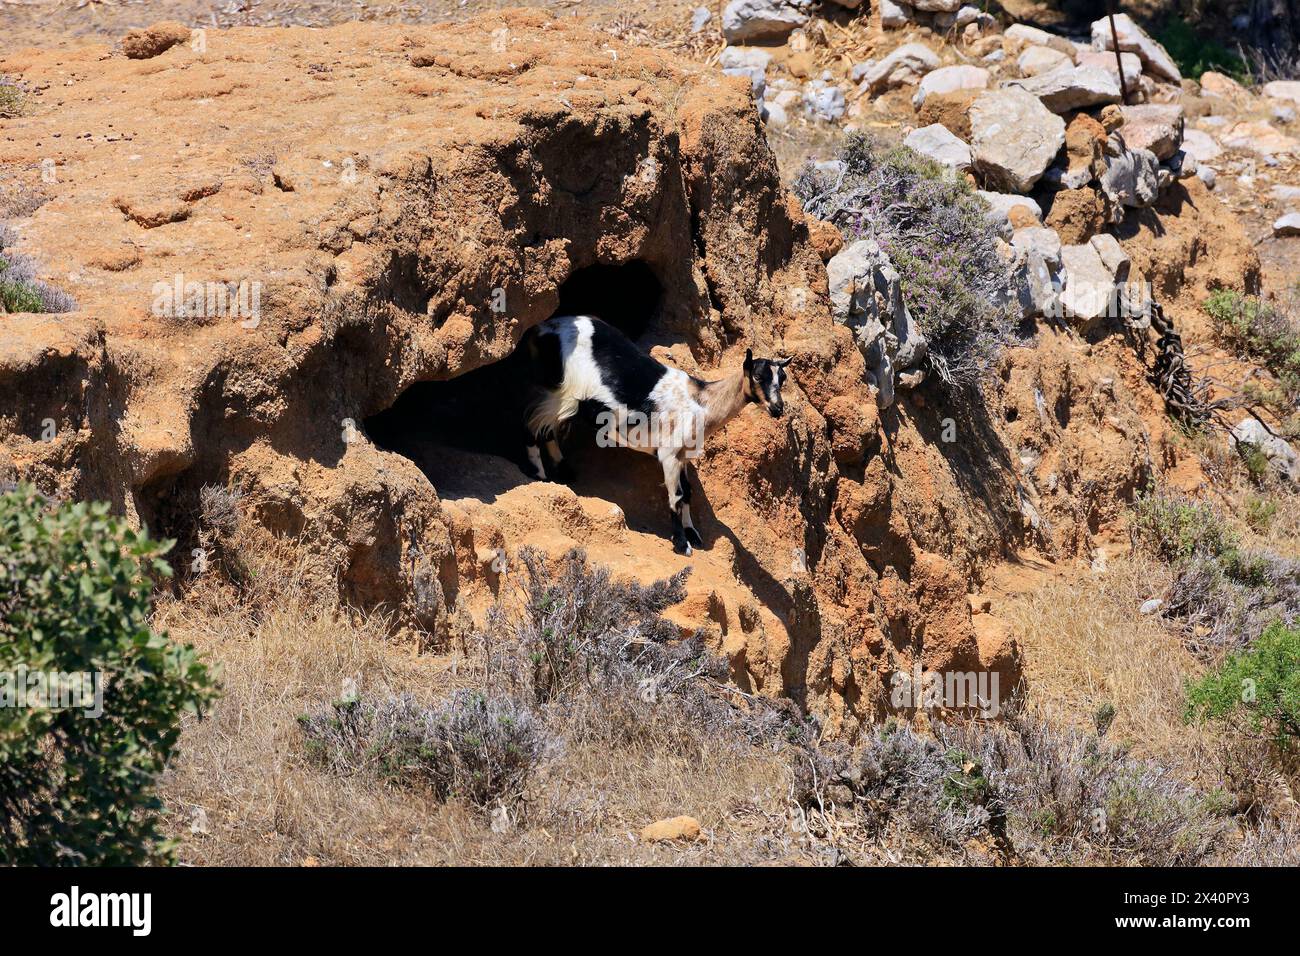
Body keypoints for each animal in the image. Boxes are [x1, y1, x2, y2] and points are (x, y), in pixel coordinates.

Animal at [519, 314, 790, 555]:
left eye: (782, 379)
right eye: (758, 376)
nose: (778, 409)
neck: (702, 402)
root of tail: (541, 328)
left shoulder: (683, 455)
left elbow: (687, 492)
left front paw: (692, 534)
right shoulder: (668, 454)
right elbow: (675, 497)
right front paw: (681, 545)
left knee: (547, 428)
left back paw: (563, 472)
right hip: (560, 392)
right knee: (532, 424)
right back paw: (538, 474)